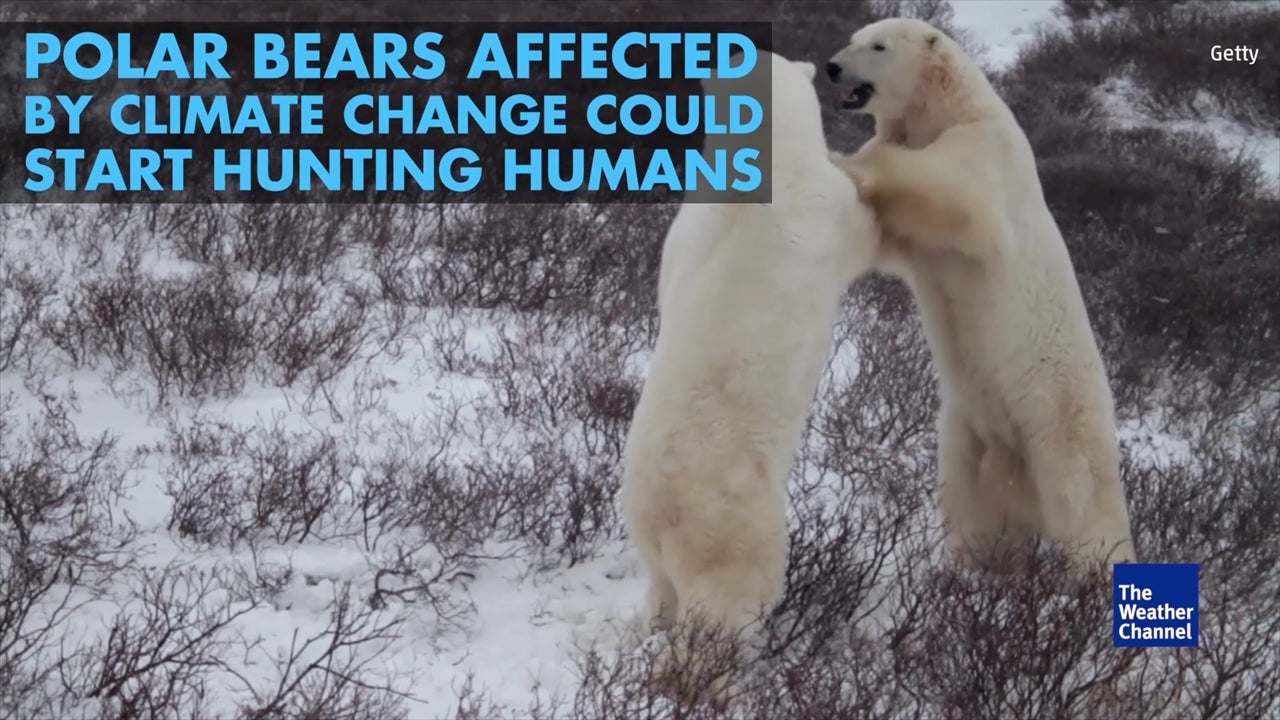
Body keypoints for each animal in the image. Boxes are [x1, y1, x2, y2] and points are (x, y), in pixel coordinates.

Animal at [619, 50, 881, 703]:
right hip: (739, 531)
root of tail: (666, 518)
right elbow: (861, 222)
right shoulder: (824, 209)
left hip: (646, 527)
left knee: (661, 591)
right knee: (723, 612)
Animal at [824, 17, 1138, 575]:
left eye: (878, 45)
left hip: (1059, 419)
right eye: (855, 36)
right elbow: (893, 235)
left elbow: (955, 193)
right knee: (972, 508)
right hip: (967, 432)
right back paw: (970, 571)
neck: (947, 106)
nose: (833, 67)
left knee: (1085, 509)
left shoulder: (984, 146)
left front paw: (849, 158)